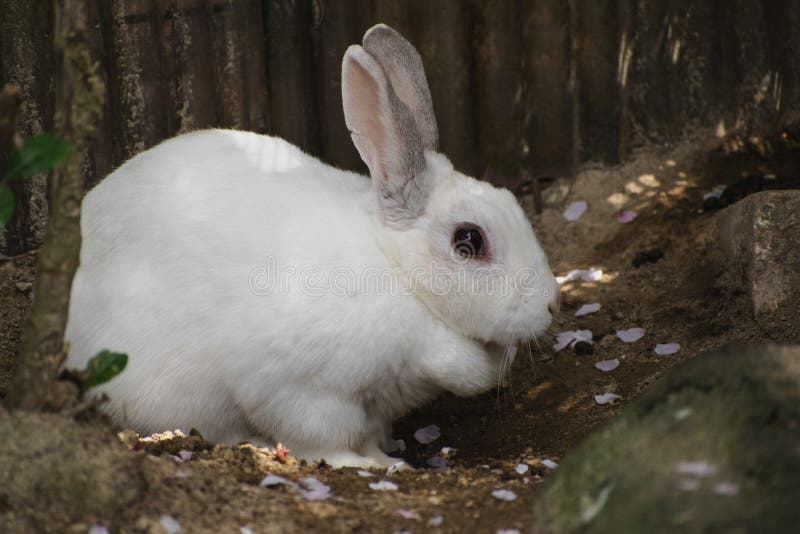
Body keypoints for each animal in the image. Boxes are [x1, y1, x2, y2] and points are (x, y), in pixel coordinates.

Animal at [64, 24, 559, 468]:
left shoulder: (375, 406)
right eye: (469, 240)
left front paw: (385, 456)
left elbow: (371, 434)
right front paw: (370, 467)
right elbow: (325, 440)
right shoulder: (303, 390)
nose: (552, 305)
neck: (398, 274)